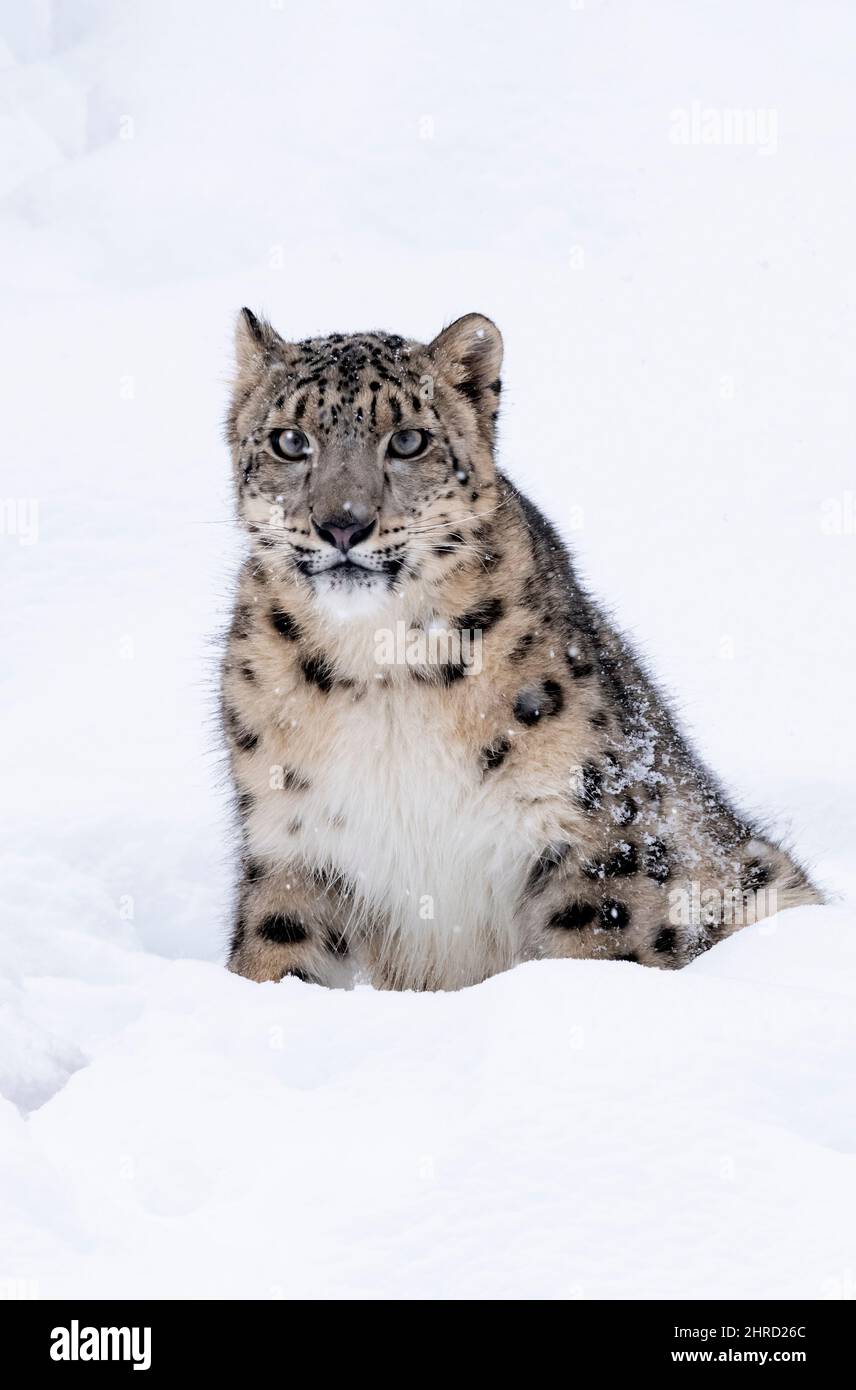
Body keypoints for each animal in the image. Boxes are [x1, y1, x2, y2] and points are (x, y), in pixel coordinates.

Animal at [221, 308, 822, 990]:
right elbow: (277, 949)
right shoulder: (292, 838)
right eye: (290, 441)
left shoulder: (593, 836)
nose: (342, 522)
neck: (379, 665)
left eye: (408, 440)